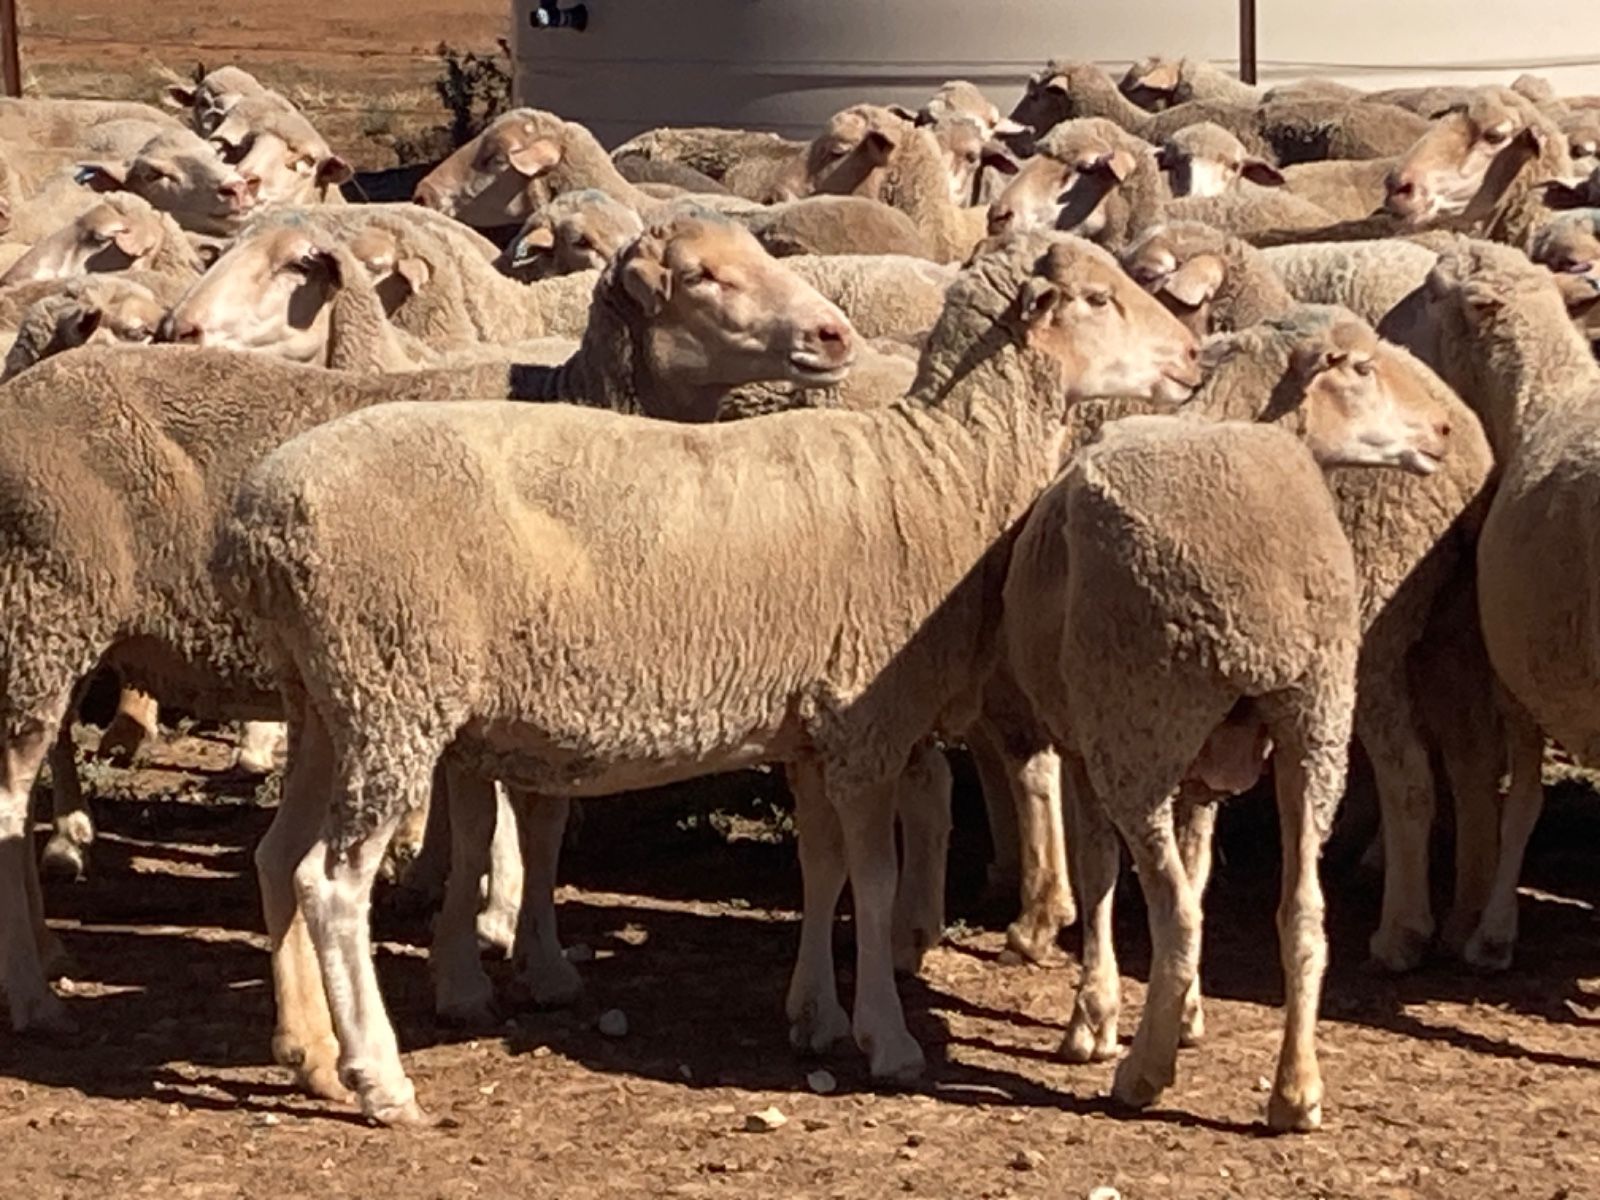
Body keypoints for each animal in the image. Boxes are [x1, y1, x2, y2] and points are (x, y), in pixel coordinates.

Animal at [208, 232, 1201, 1122]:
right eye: (1098, 298)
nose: (1193, 355)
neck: (946, 467)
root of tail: (260, 520)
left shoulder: (812, 730)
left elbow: (821, 870)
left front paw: (814, 1017)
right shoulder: (865, 726)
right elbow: (875, 883)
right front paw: (886, 1039)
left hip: (329, 701)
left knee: (279, 858)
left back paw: (309, 1057)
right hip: (393, 687)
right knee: (334, 883)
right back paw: (380, 1079)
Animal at [1004, 307, 1456, 1130]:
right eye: (1362, 368)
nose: (1441, 428)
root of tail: (1264, 616)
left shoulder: (1090, 748)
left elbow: (1102, 875)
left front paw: (1095, 1019)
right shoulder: (1204, 766)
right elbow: (1201, 866)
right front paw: (1184, 1015)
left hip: (1140, 728)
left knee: (1175, 915)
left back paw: (1143, 1075)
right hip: (1312, 720)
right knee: (1303, 913)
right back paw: (1296, 1091)